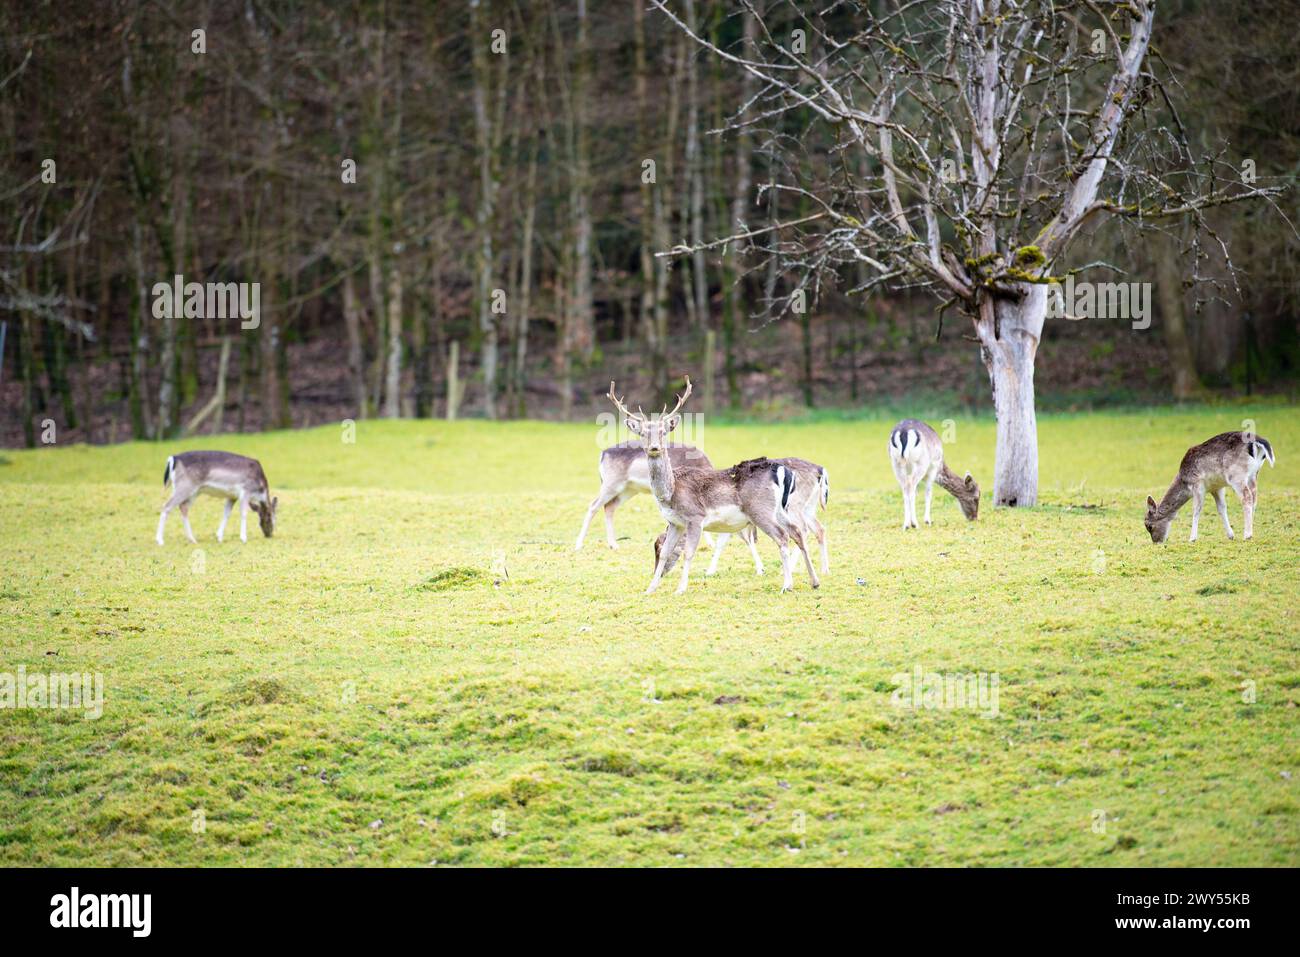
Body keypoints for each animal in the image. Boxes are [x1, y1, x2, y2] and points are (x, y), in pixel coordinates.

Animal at [575, 442, 714, 550]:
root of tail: (604, 453)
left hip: (628, 490)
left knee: (609, 507)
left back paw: (613, 545)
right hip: (611, 485)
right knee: (593, 506)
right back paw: (578, 545)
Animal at [608, 376, 819, 594]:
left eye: (663, 432)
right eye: (642, 433)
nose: (654, 447)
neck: (670, 493)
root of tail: (782, 471)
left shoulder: (695, 517)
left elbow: (689, 552)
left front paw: (680, 589)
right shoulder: (675, 522)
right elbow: (668, 552)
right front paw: (650, 589)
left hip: (760, 509)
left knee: (783, 537)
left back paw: (787, 585)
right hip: (782, 509)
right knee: (797, 532)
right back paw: (814, 581)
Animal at [1145, 431, 1274, 543]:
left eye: (1149, 526)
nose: (1157, 542)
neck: (1184, 480)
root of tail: (1257, 441)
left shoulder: (1197, 484)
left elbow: (1196, 509)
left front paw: (1192, 538)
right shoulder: (1216, 488)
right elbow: (1221, 508)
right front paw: (1230, 535)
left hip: (1236, 475)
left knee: (1247, 497)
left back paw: (1247, 535)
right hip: (1254, 475)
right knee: (1254, 498)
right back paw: (1250, 530)